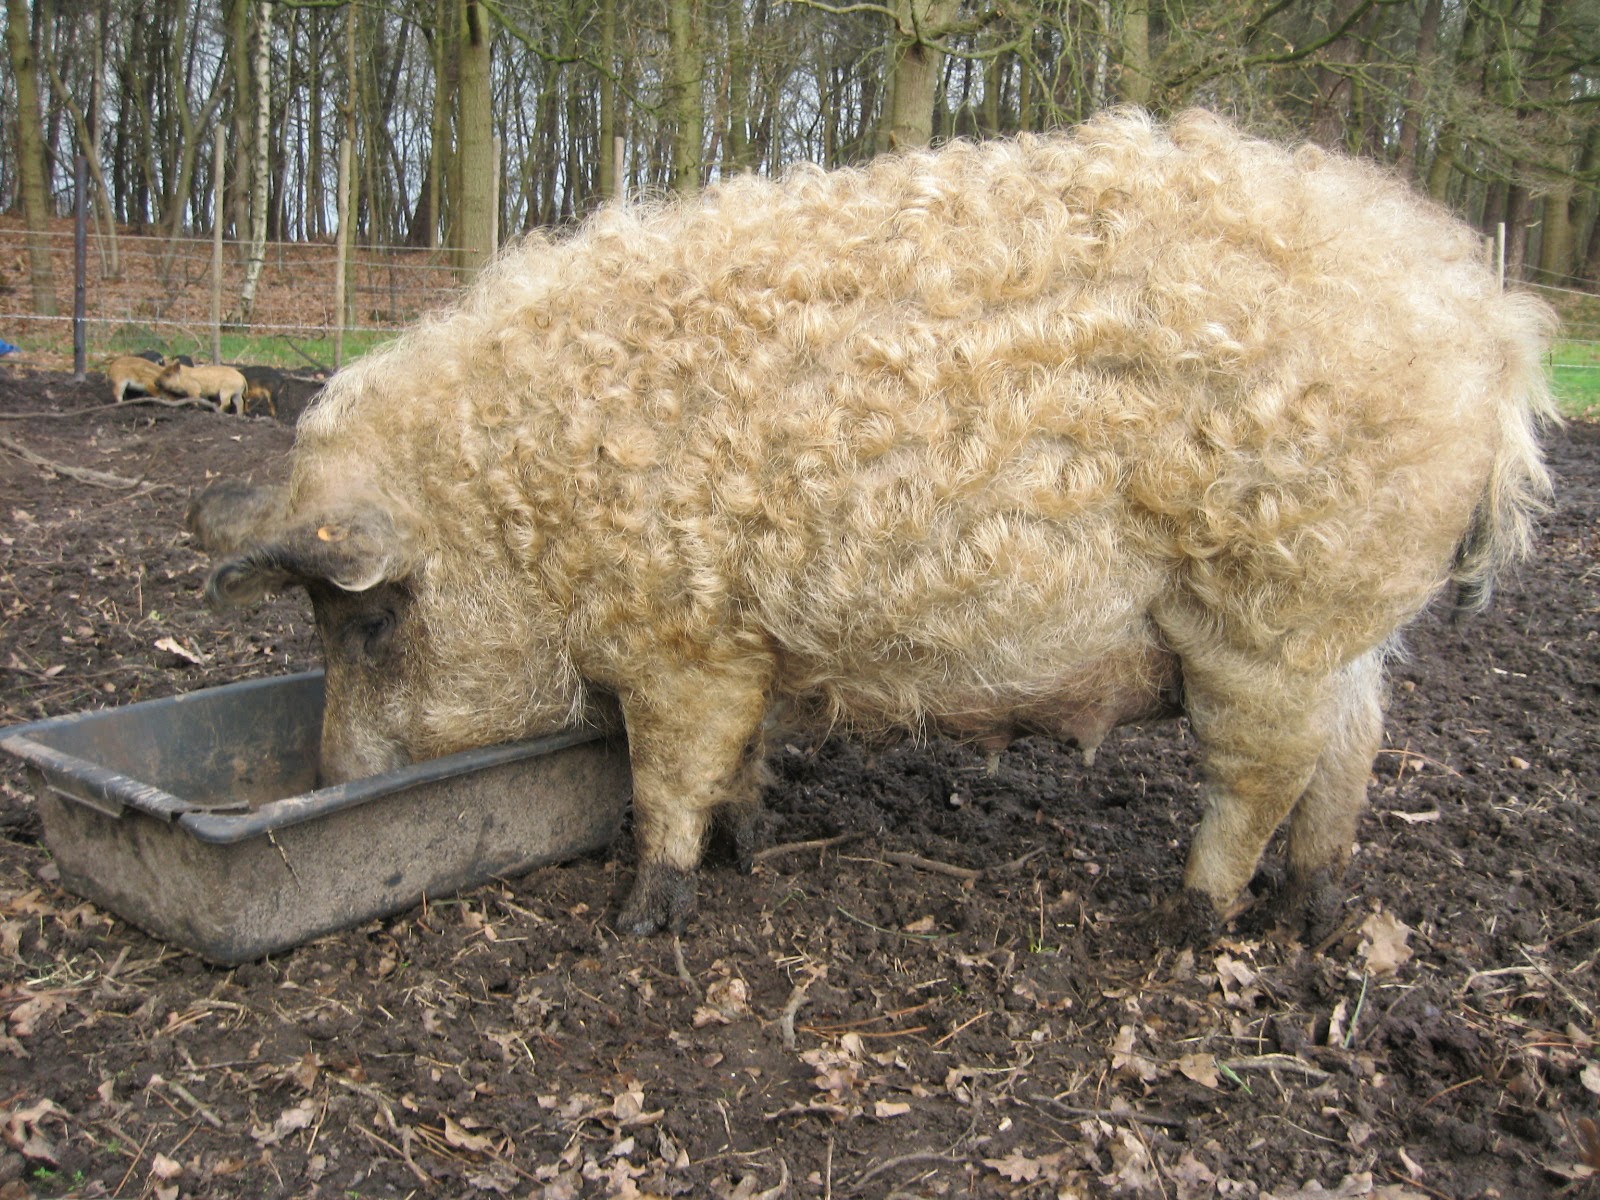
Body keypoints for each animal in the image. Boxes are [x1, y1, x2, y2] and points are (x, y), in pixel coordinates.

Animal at [186, 109, 1556, 941]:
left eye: (367, 621)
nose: (330, 778)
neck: (527, 497)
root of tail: (1485, 328)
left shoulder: (679, 639)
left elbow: (667, 772)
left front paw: (643, 917)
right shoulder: (737, 641)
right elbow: (737, 758)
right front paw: (748, 849)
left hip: (1267, 605)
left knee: (1265, 771)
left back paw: (1183, 922)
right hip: (1337, 619)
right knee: (1355, 748)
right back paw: (1307, 914)